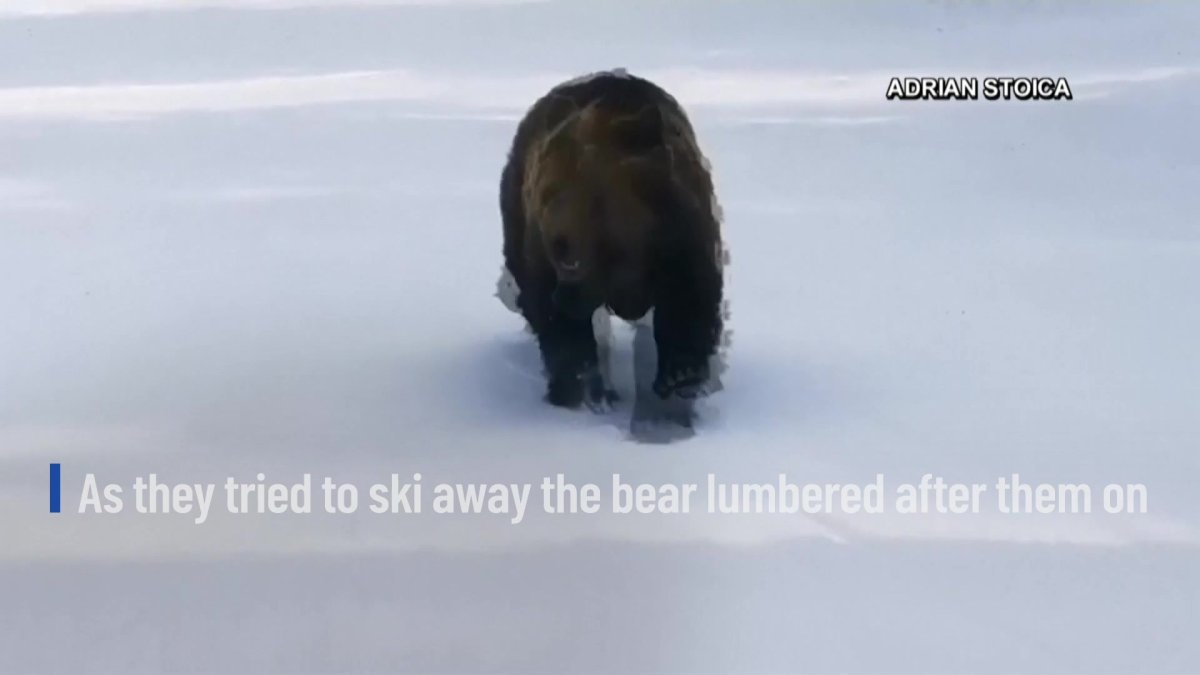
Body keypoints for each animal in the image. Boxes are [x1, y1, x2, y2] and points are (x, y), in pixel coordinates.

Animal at [498, 69, 725, 410]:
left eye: (556, 187)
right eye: (544, 189)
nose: (564, 295)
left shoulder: (681, 237)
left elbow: (688, 301)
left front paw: (680, 378)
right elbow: (559, 325)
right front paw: (580, 387)